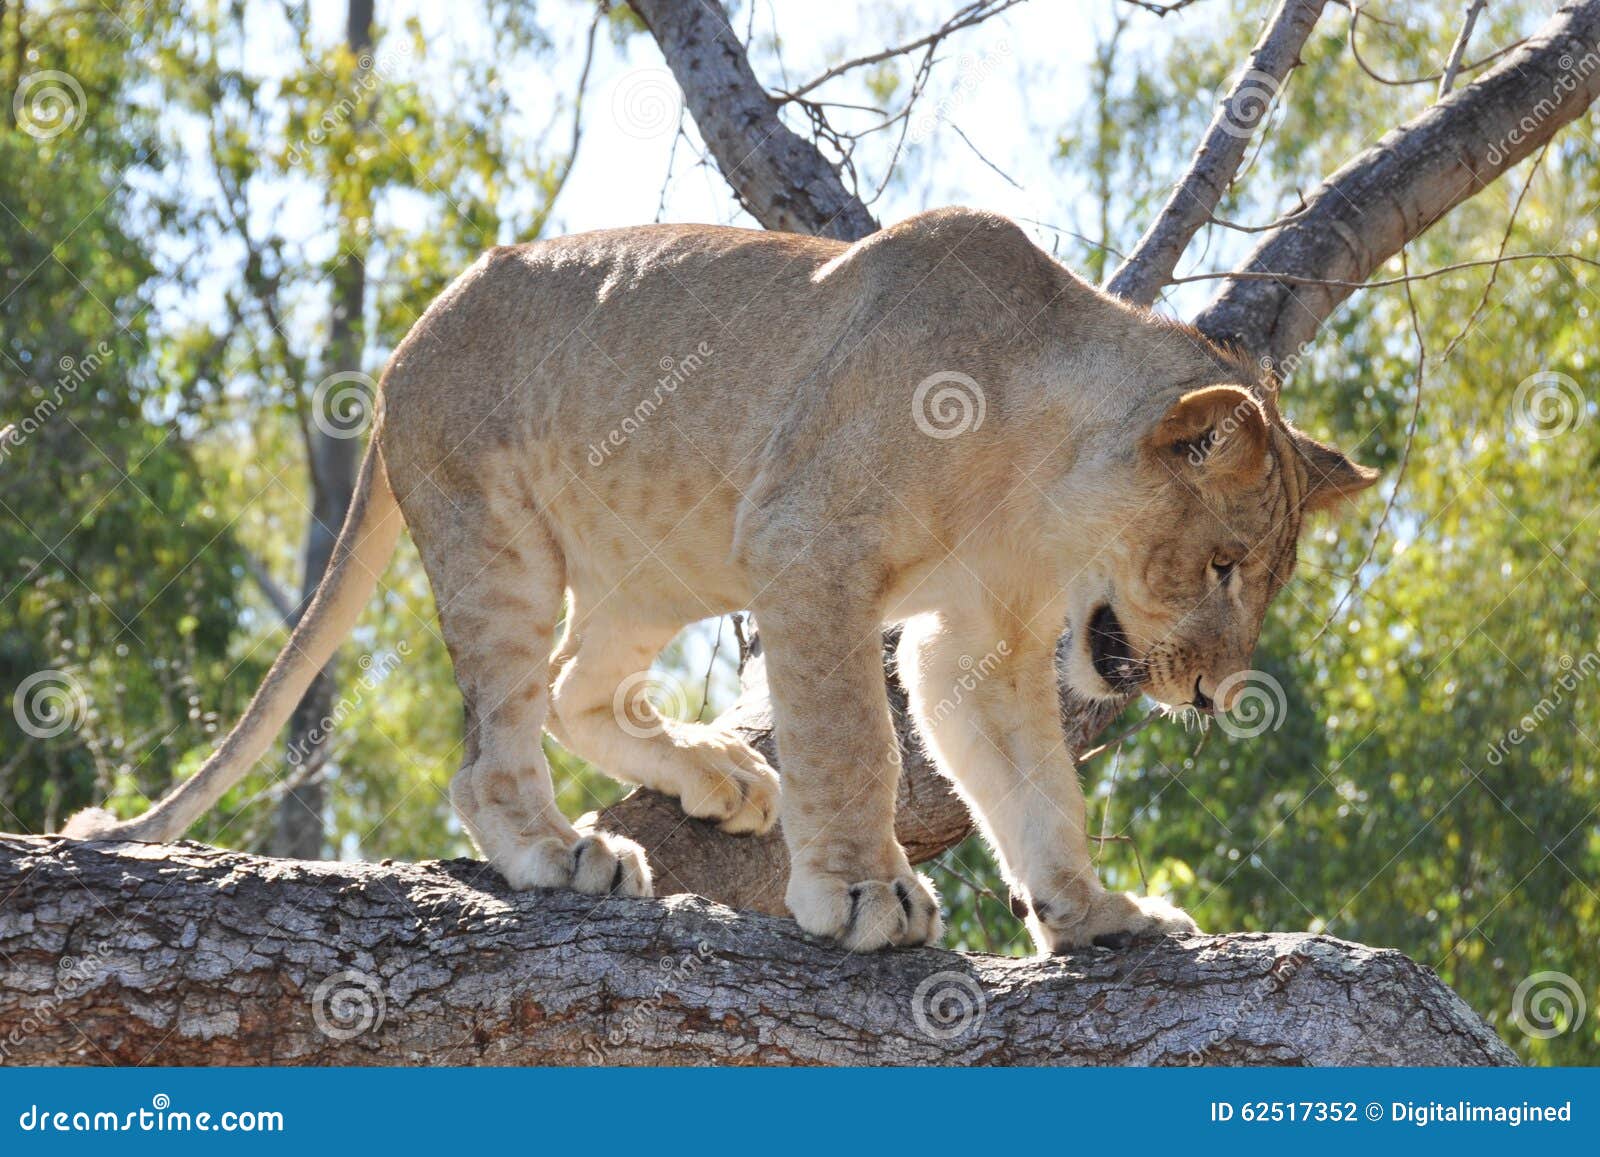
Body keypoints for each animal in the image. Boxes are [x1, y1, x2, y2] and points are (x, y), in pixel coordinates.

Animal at [64, 208, 1376, 952]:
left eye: (1258, 585)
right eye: (1220, 565)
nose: (1215, 694)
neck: (1030, 479)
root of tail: (399, 349)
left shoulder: (980, 643)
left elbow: (1034, 788)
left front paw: (1094, 913)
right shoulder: (808, 544)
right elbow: (855, 740)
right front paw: (864, 893)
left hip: (659, 564)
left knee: (570, 688)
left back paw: (720, 776)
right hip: (500, 540)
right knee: (492, 741)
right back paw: (562, 851)